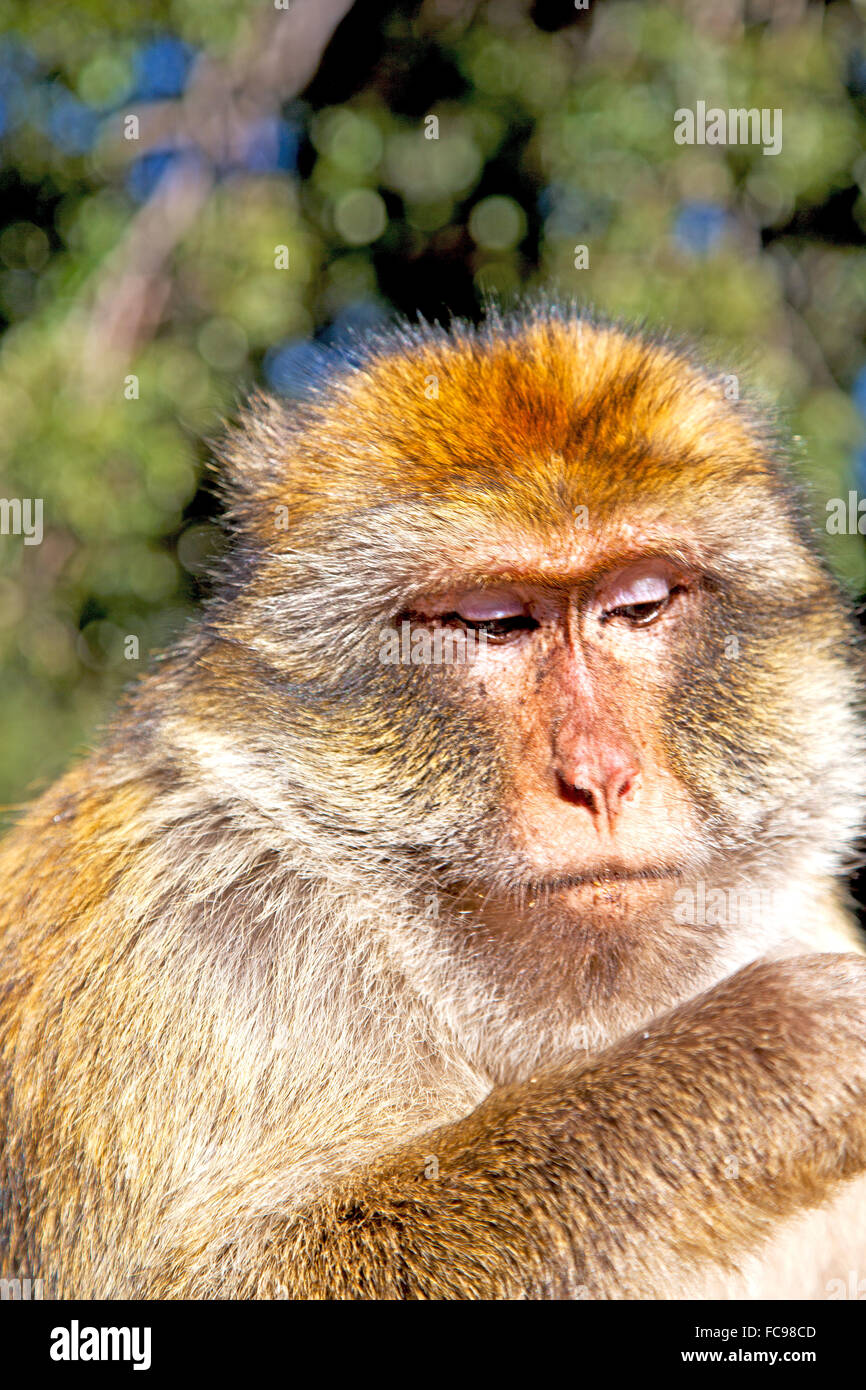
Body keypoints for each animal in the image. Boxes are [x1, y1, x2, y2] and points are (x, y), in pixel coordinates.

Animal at [2, 300, 866, 1301]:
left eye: (641, 603)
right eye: (494, 622)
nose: (600, 775)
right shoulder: (198, 937)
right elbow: (239, 1272)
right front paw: (769, 1051)